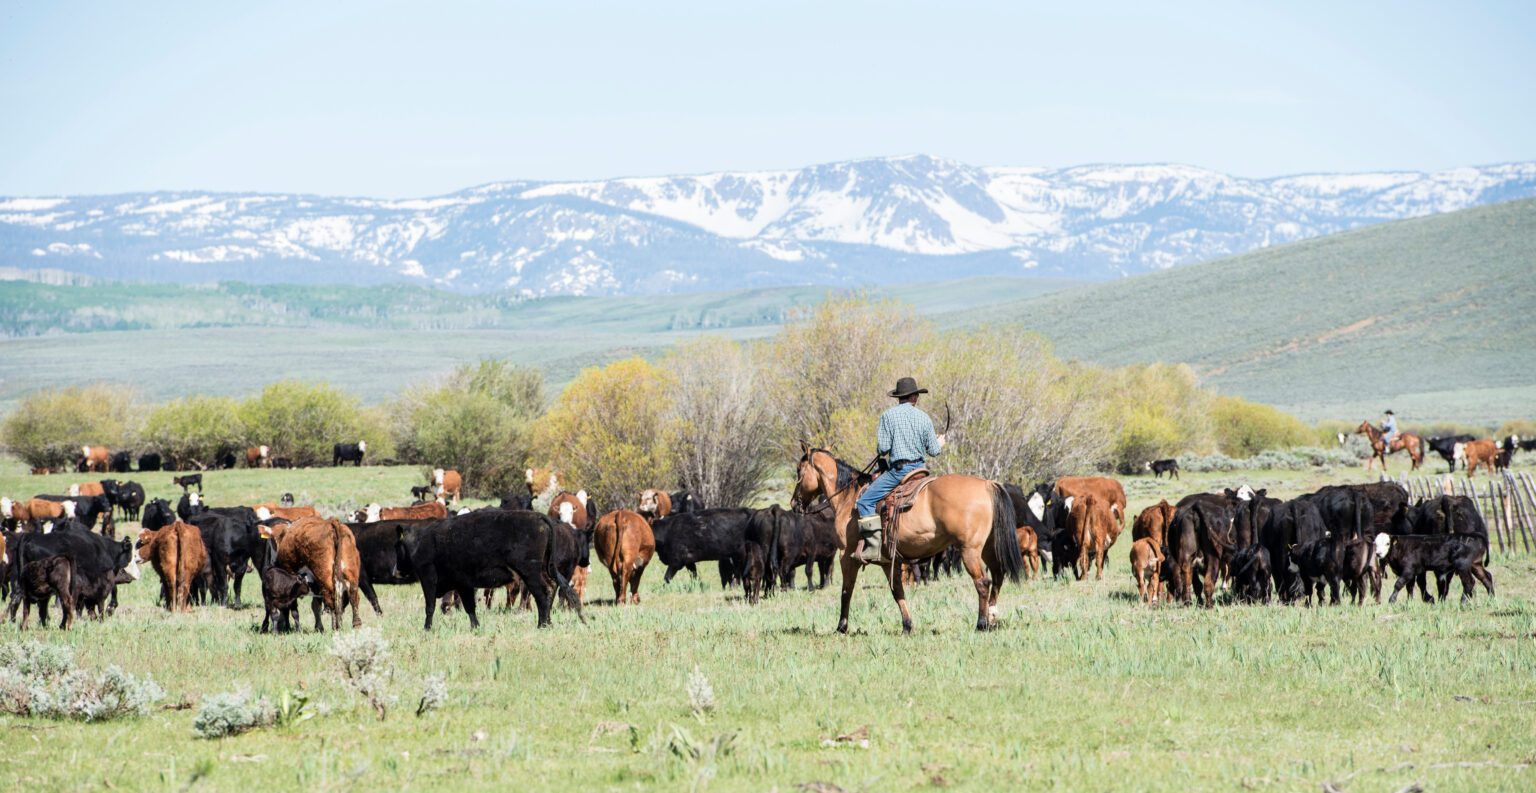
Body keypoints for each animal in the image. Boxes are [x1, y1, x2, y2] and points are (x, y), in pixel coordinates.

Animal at [399, 509, 582, 629]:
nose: (397, 570)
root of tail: (539, 517)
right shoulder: (463, 585)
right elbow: (469, 607)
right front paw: (475, 627)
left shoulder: (428, 579)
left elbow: (429, 606)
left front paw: (426, 628)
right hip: (543, 570)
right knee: (551, 588)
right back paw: (548, 622)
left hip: (531, 573)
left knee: (543, 593)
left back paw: (542, 625)